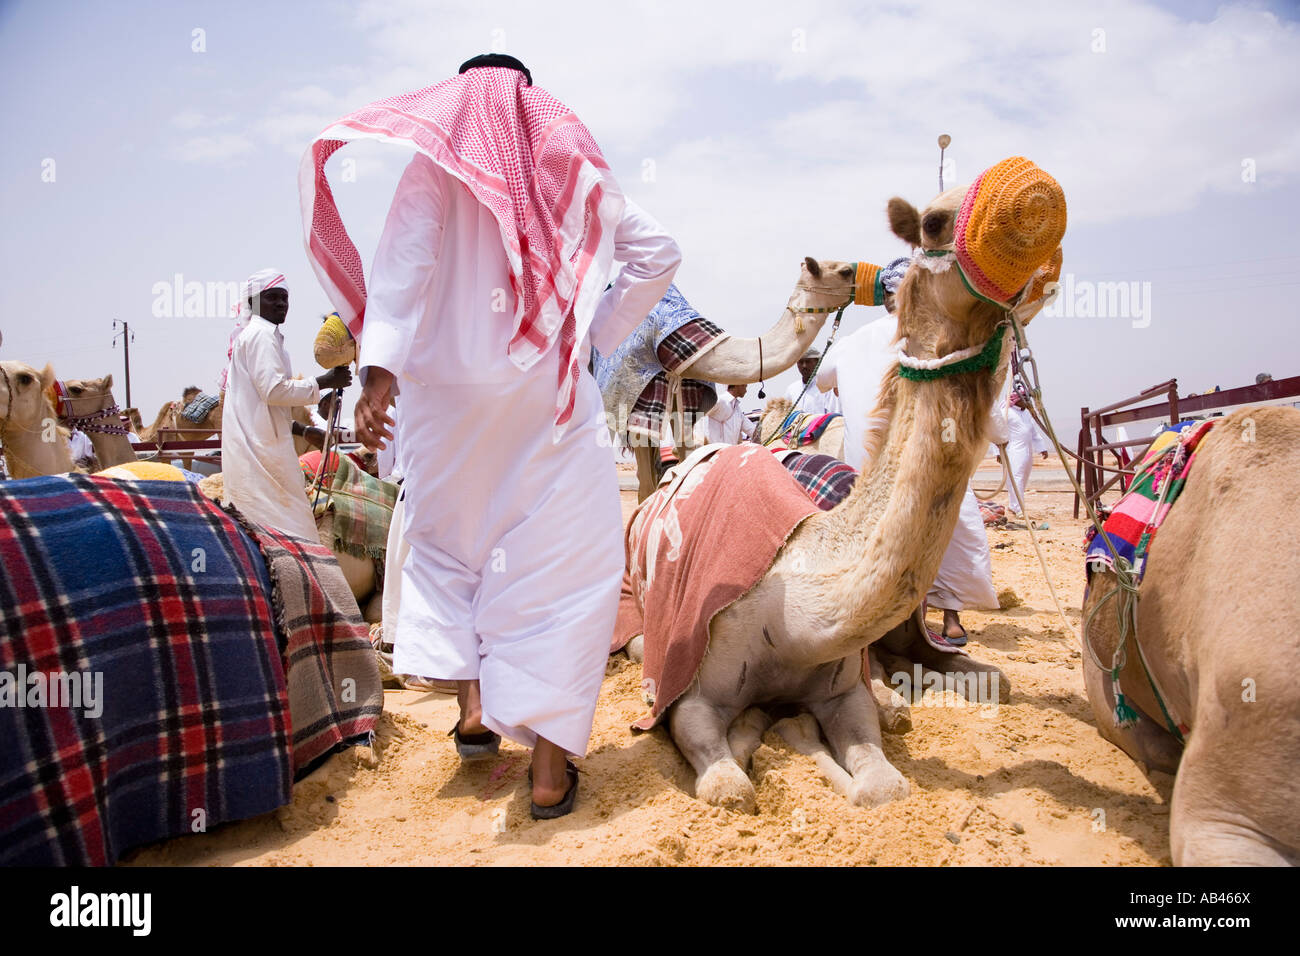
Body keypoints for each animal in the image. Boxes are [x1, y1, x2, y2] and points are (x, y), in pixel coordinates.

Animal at [627, 181, 1060, 813]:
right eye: (933, 222)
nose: (1039, 200)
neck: (793, 610)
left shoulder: (840, 687)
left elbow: (885, 784)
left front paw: (801, 725)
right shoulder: (692, 692)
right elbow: (730, 787)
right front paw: (765, 730)